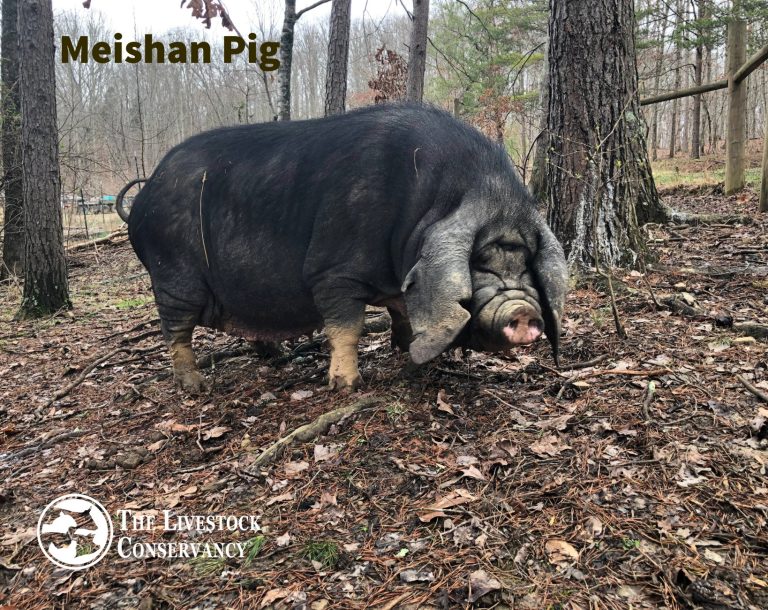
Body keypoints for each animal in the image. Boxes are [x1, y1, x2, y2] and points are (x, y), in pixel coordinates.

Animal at [118, 104, 567, 393]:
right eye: (479, 261)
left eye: (526, 261)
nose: (524, 312)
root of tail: (143, 200)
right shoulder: (332, 272)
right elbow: (346, 327)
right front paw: (346, 386)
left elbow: (402, 310)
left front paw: (404, 349)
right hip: (172, 274)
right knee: (176, 330)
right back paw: (196, 387)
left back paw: (272, 355)